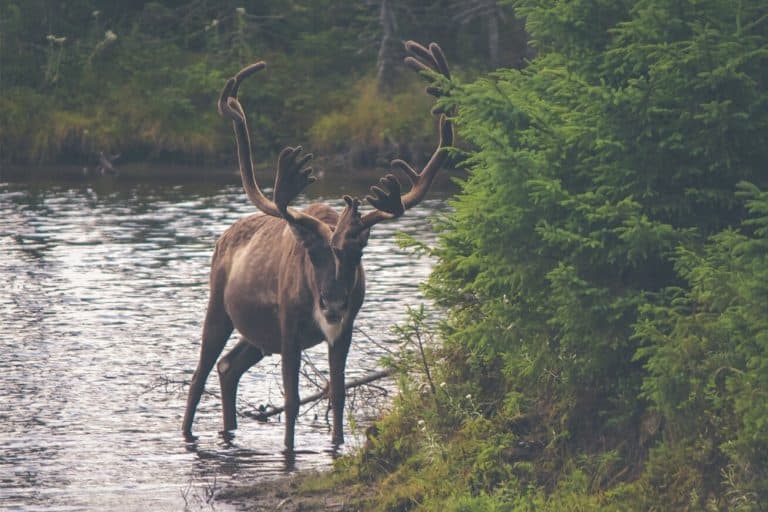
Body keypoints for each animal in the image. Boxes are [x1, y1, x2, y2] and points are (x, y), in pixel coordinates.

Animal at [182, 41, 453, 452]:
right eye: (311, 253)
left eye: (358, 252)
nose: (333, 303)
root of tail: (224, 237)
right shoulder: (289, 327)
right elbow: (292, 399)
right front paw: (288, 449)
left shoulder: (345, 328)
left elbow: (337, 392)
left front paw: (337, 445)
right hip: (219, 307)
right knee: (199, 374)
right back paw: (188, 431)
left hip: (257, 335)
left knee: (228, 367)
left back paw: (229, 430)